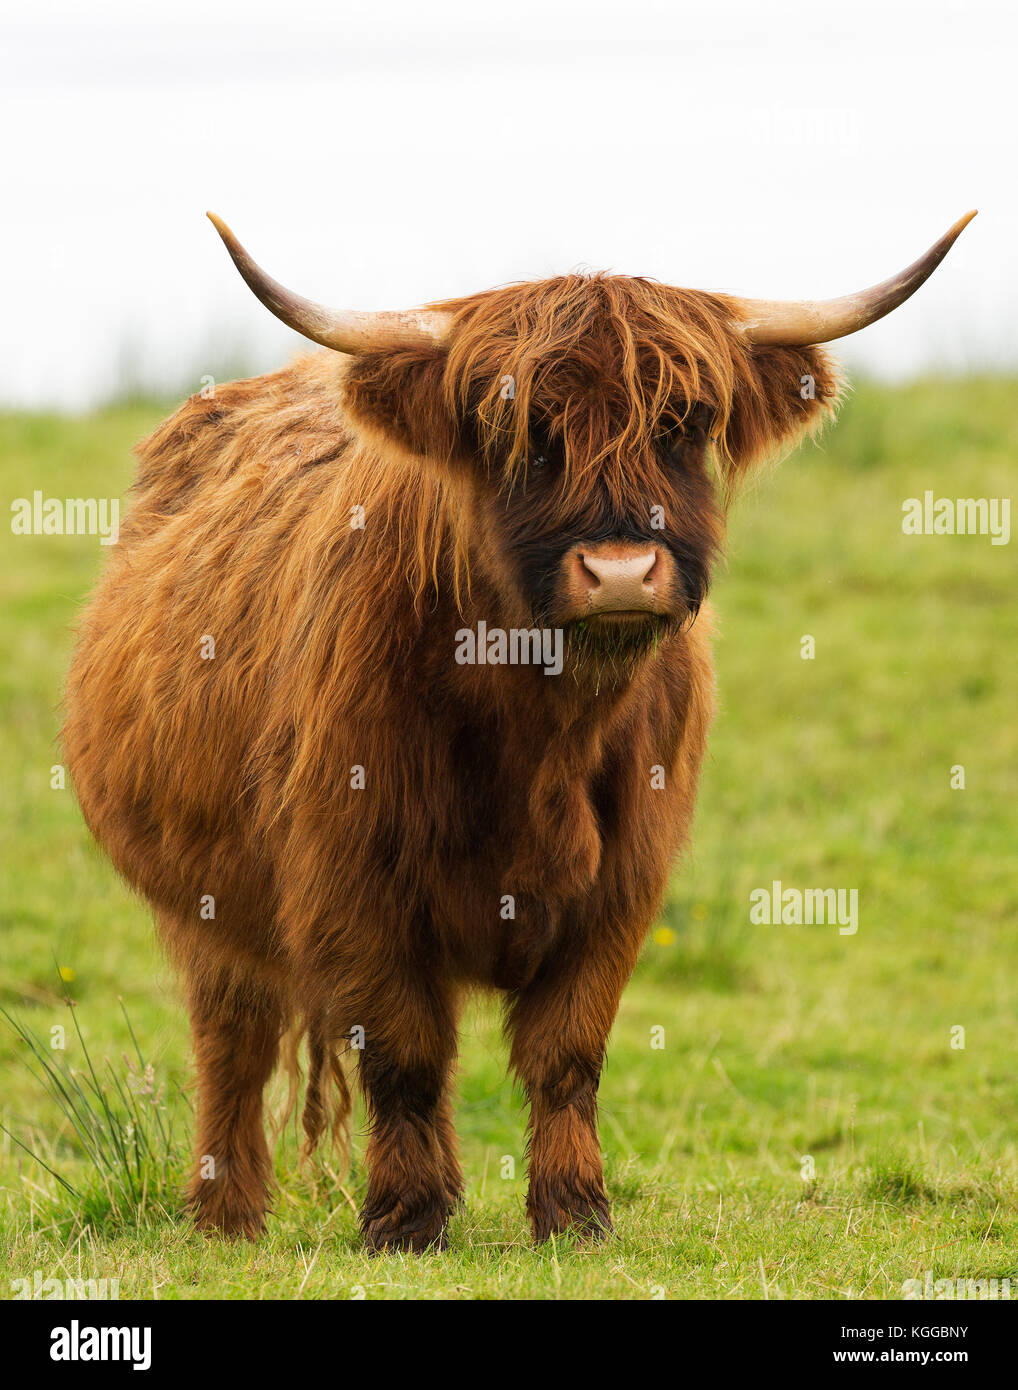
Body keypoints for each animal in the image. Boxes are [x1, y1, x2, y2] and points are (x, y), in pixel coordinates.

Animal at [62, 210, 975, 1252]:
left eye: (685, 423)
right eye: (522, 434)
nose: (620, 572)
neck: (539, 732)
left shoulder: (621, 888)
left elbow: (567, 1054)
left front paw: (575, 1212)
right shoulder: (353, 880)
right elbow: (407, 1055)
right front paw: (407, 1219)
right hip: (205, 905)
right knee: (233, 1042)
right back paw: (227, 1216)